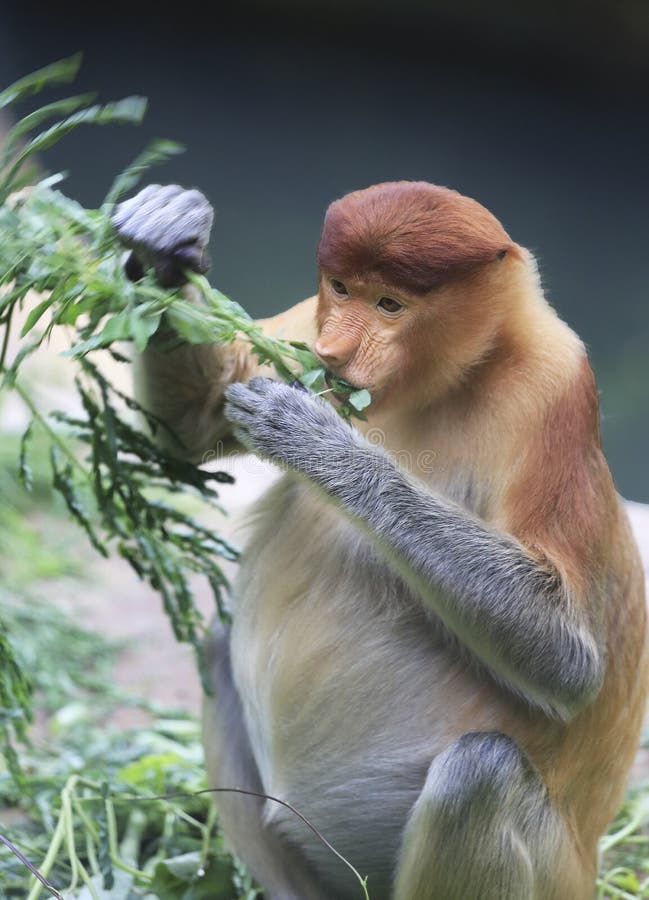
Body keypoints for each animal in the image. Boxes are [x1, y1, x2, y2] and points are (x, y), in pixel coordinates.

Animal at [114, 180, 649, 900]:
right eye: (340, 288)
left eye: (389, 304)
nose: (335, 353)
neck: (465, 371)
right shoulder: (304, 327)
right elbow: (191, 429)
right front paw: (165, 240)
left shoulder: (554, 390)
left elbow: (568, 659)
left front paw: (318, 442)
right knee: (220, 644)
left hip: (550, 874)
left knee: (479, 775)